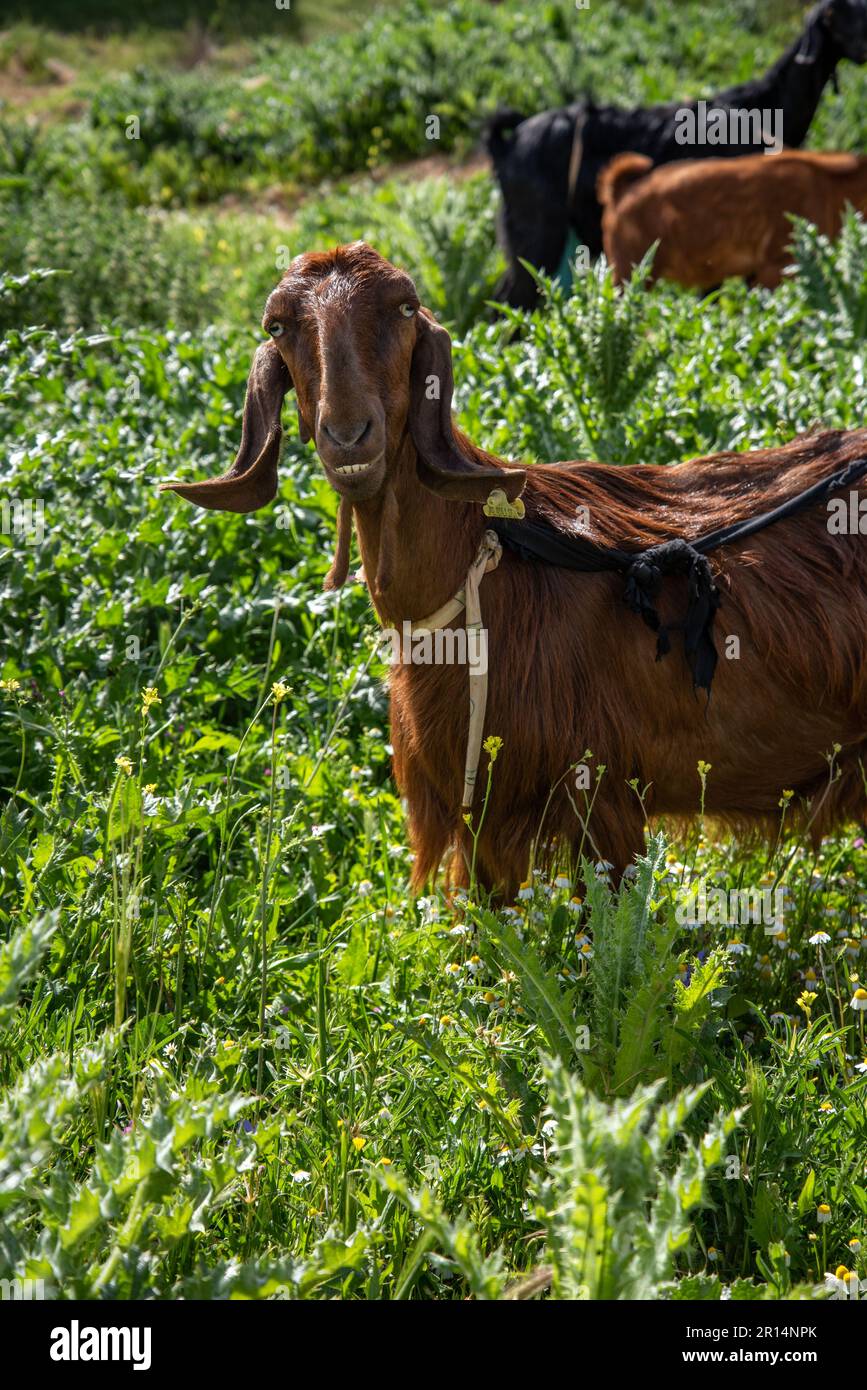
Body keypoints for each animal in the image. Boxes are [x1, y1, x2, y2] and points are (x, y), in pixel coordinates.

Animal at [161, 243, 867, 900]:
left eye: (405, 308)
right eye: (279, 326)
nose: (349, 436)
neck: (486, 568)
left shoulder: (600, 799)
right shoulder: (478, 814)